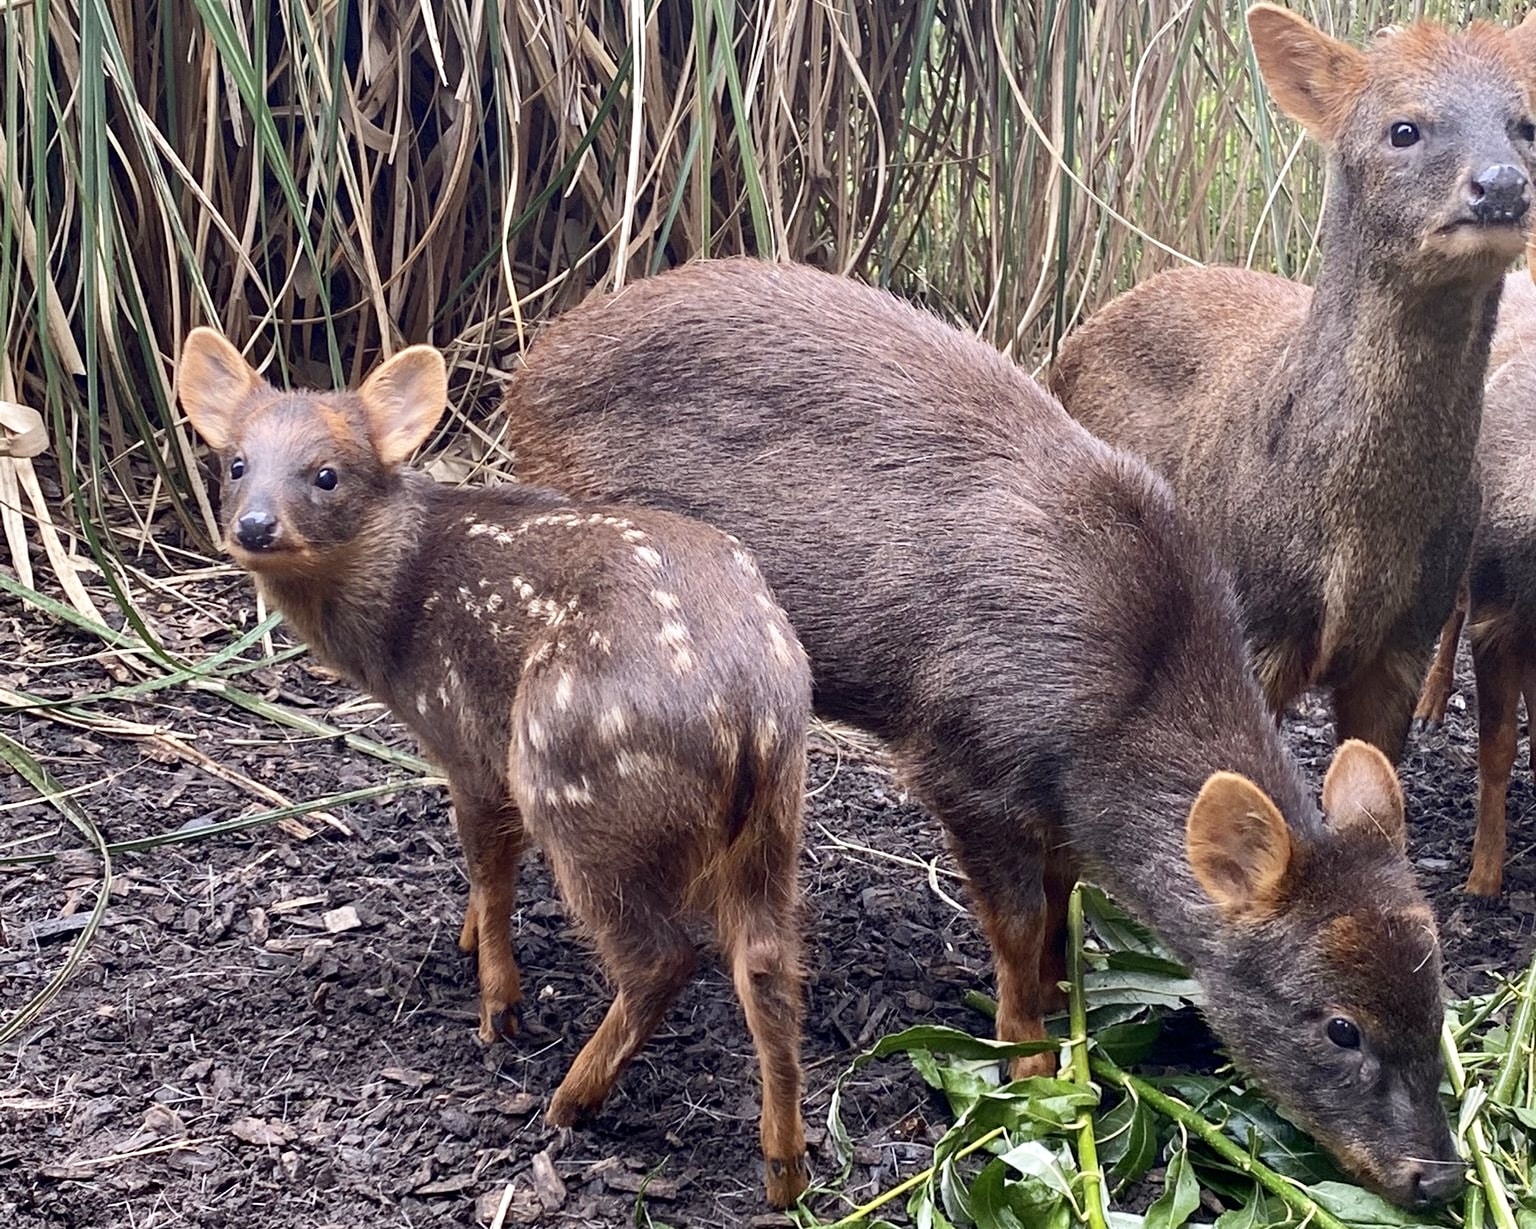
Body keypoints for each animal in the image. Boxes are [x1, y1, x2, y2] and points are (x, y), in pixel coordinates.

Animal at [174, 328, 815, 1208]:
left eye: (327, 473)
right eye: (235, 462)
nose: (255, 524)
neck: (396, 612)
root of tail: (748, 713)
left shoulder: (466, 736)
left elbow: (489, 864)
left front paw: (496, 1001)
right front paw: (467, 938)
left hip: (572, 781)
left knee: (663, 957)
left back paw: (569, 1099)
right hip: (775, 817)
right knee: (768, 964)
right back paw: (786, 1168)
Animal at [497, 255, 1464, 1208]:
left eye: (1438, 1002)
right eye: (1339, 1024)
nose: (1439, 1176)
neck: (1123, 697)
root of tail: (528, 368)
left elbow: (1065, 889)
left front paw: (1064, 997)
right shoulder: (961, 754)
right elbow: (1018, 915)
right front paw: (1028, 1054)